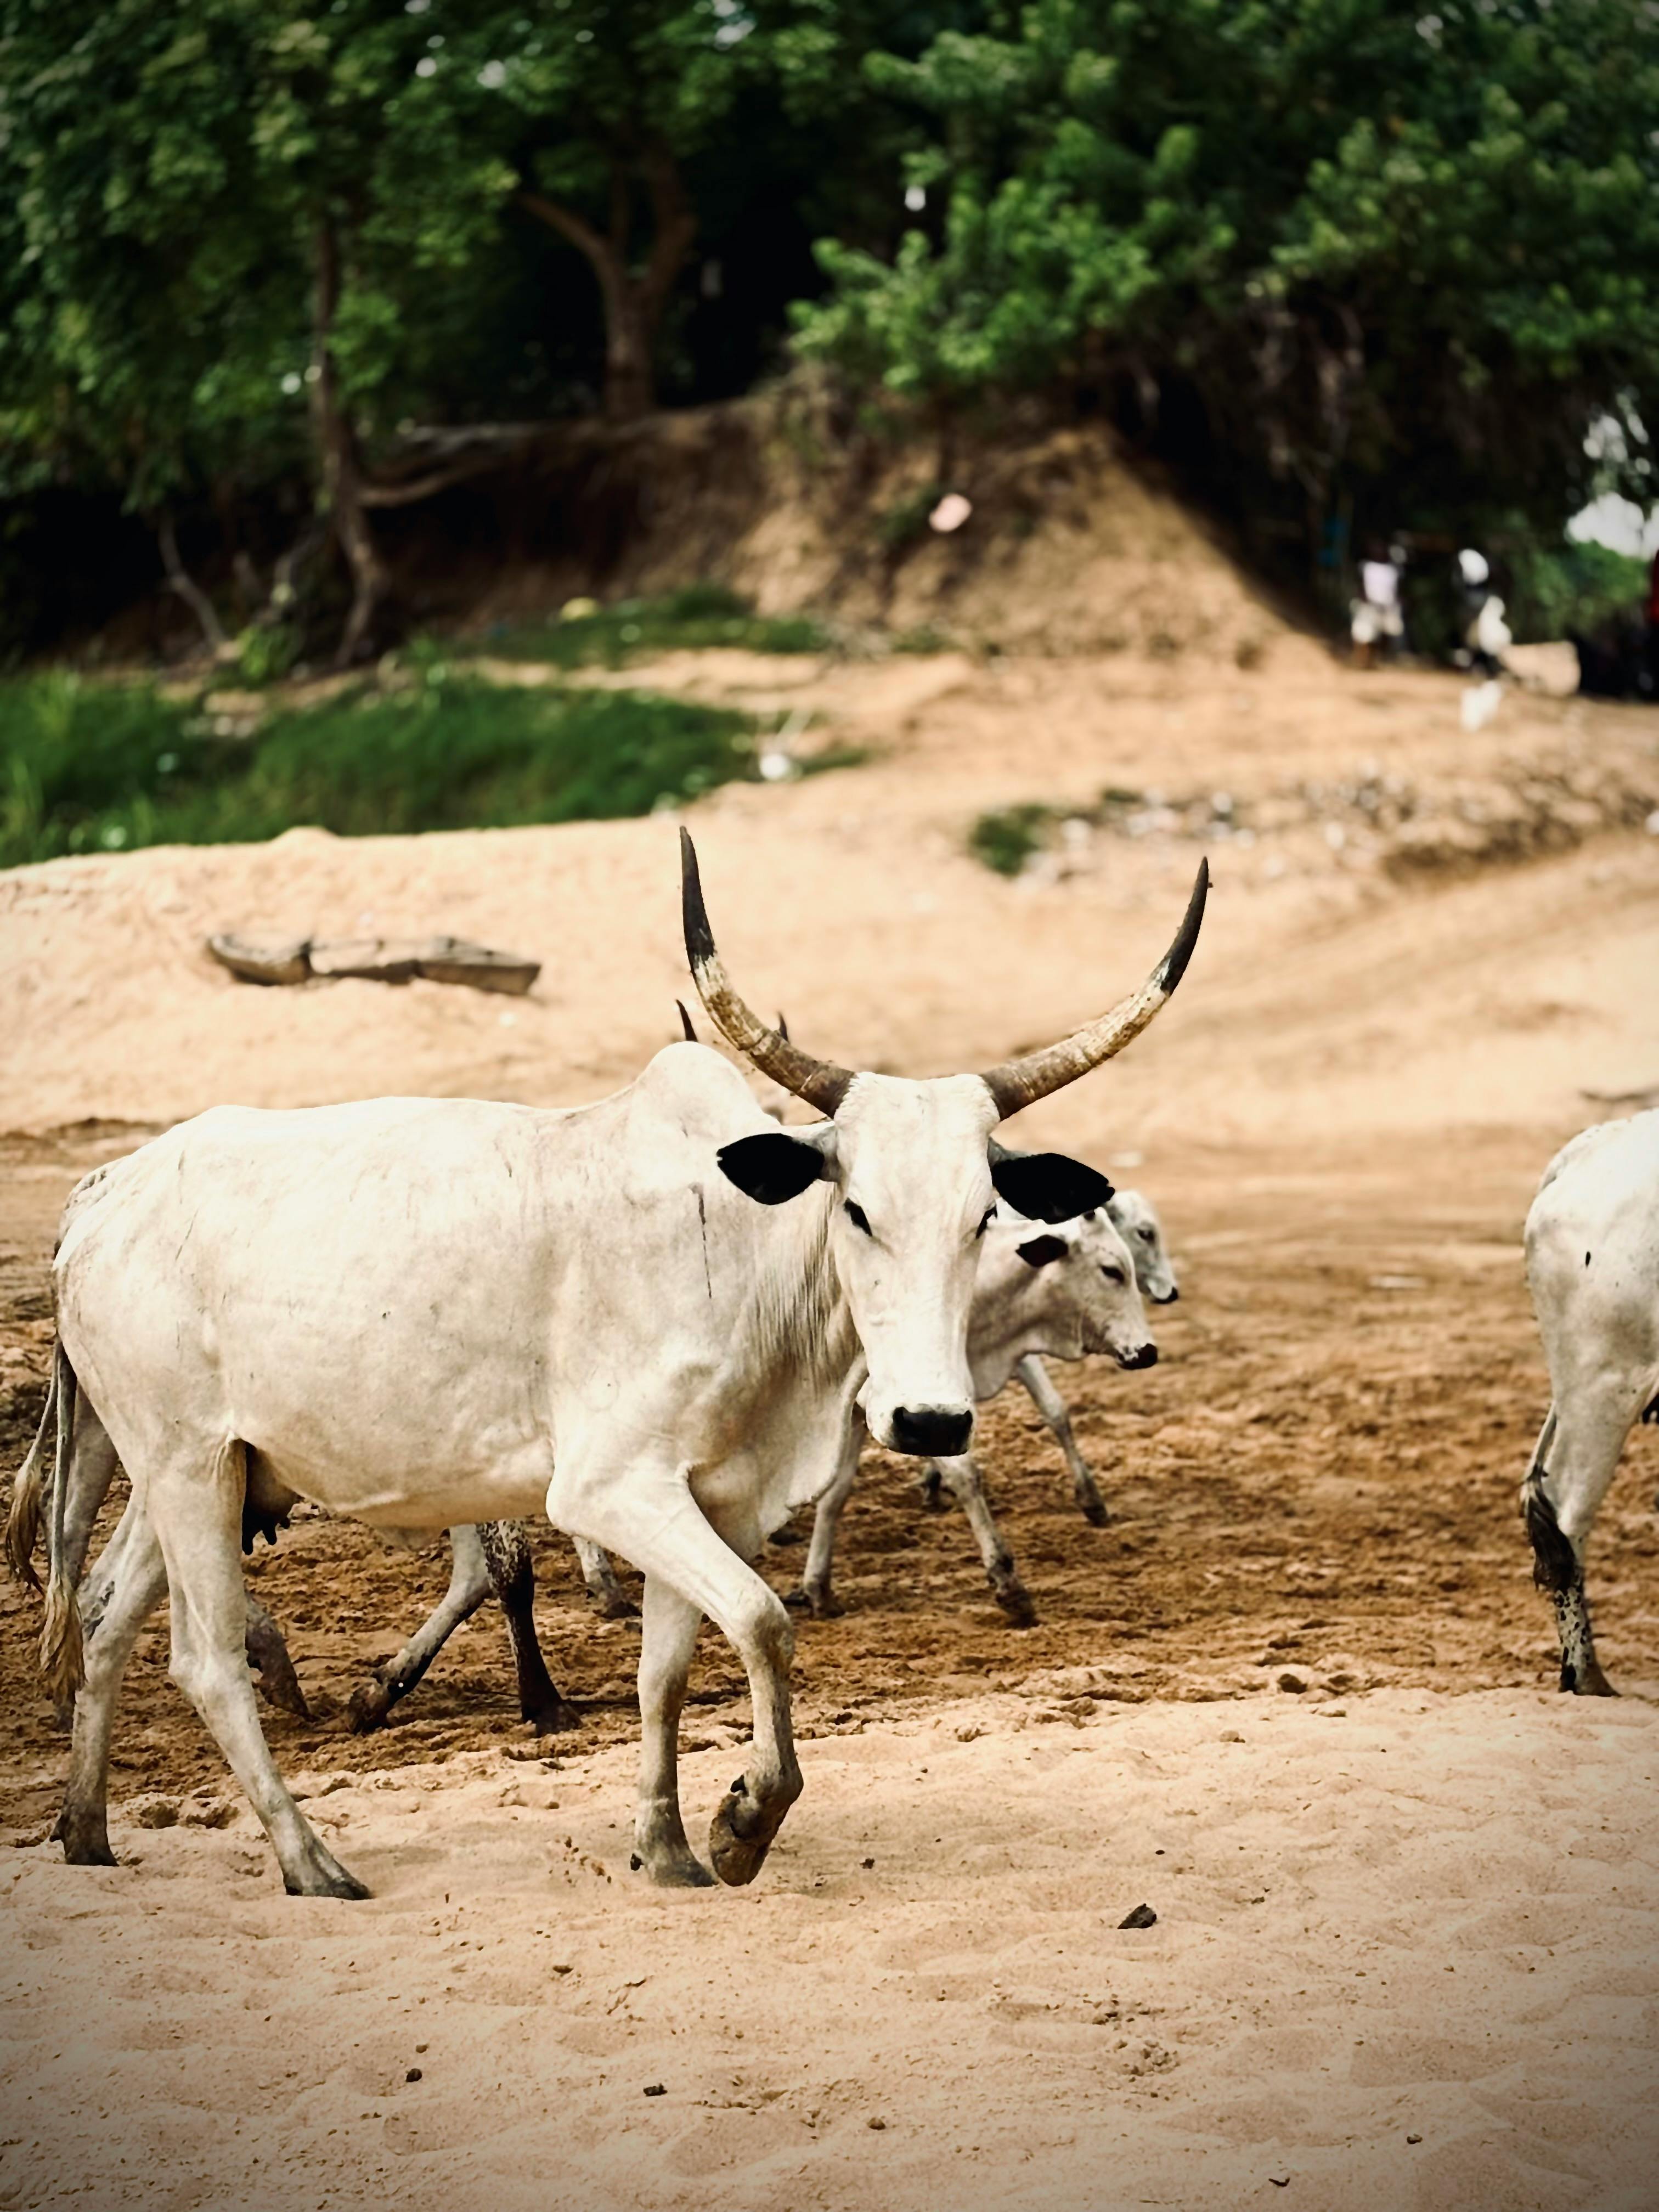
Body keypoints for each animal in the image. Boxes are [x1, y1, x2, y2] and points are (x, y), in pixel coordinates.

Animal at [11, 832, 1205, 1897]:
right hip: (186, 1471)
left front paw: (668, 1846)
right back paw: (311, 1863)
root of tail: (103, 1193)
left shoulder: (712, 1499)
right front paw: (744, 1824)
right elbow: (762, 1622)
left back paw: (87, 1830)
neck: (743, 1248)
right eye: (855, 1208)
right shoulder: (612, 1488)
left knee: (108, 1615)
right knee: (204, 1659)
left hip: (198, 1473)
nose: (926, 1422)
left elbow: (669, 1668)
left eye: (983, 1216)